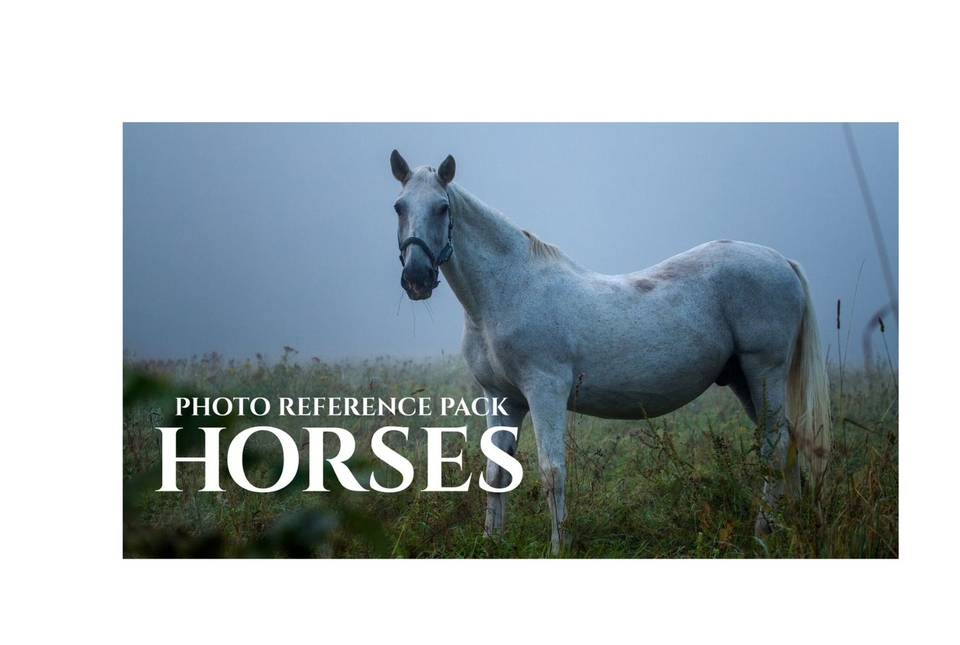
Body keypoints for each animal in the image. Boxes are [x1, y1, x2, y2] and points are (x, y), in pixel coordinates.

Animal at [389, 150, 831, 553]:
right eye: (399, 207)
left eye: (443, 207)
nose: (416, 278)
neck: (507, 291)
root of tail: (782, 261)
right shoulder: (501, 398)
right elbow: (498, 472)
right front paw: (491, 542)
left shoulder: (545, 391)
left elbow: (552, 471)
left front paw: (559, 547)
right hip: (742, 379)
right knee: (788, 443)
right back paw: (792, 526)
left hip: (764, 371)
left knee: (775, 448)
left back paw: (764, 532)